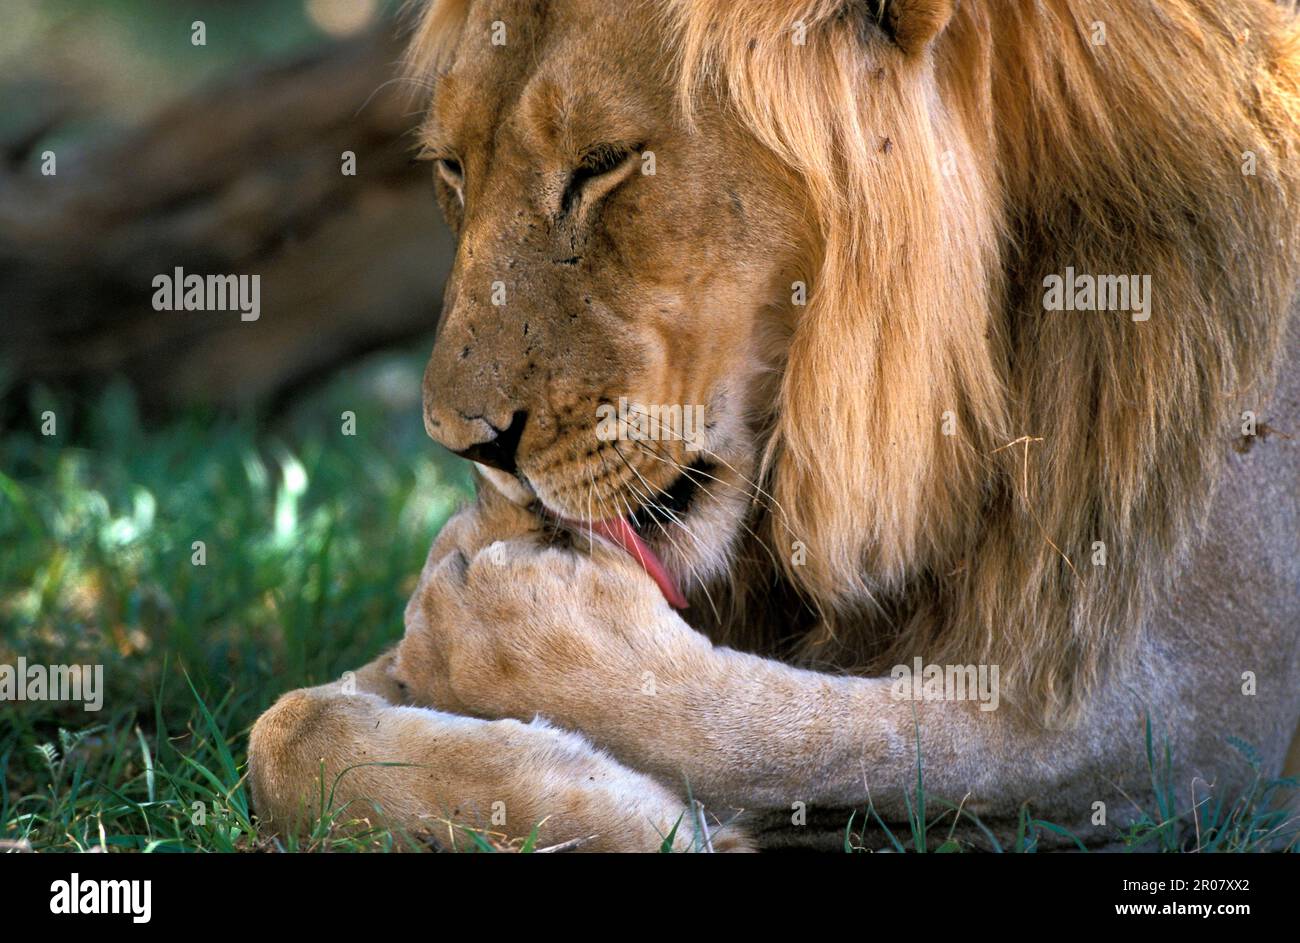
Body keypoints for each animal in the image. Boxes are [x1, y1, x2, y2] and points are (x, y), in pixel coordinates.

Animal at [248, 0, 1300, 851]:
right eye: (454, 170)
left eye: (602, 167)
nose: (466, 445)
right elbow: (286, 733)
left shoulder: (1198, 708)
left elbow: (834, 734)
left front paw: (512, 640)